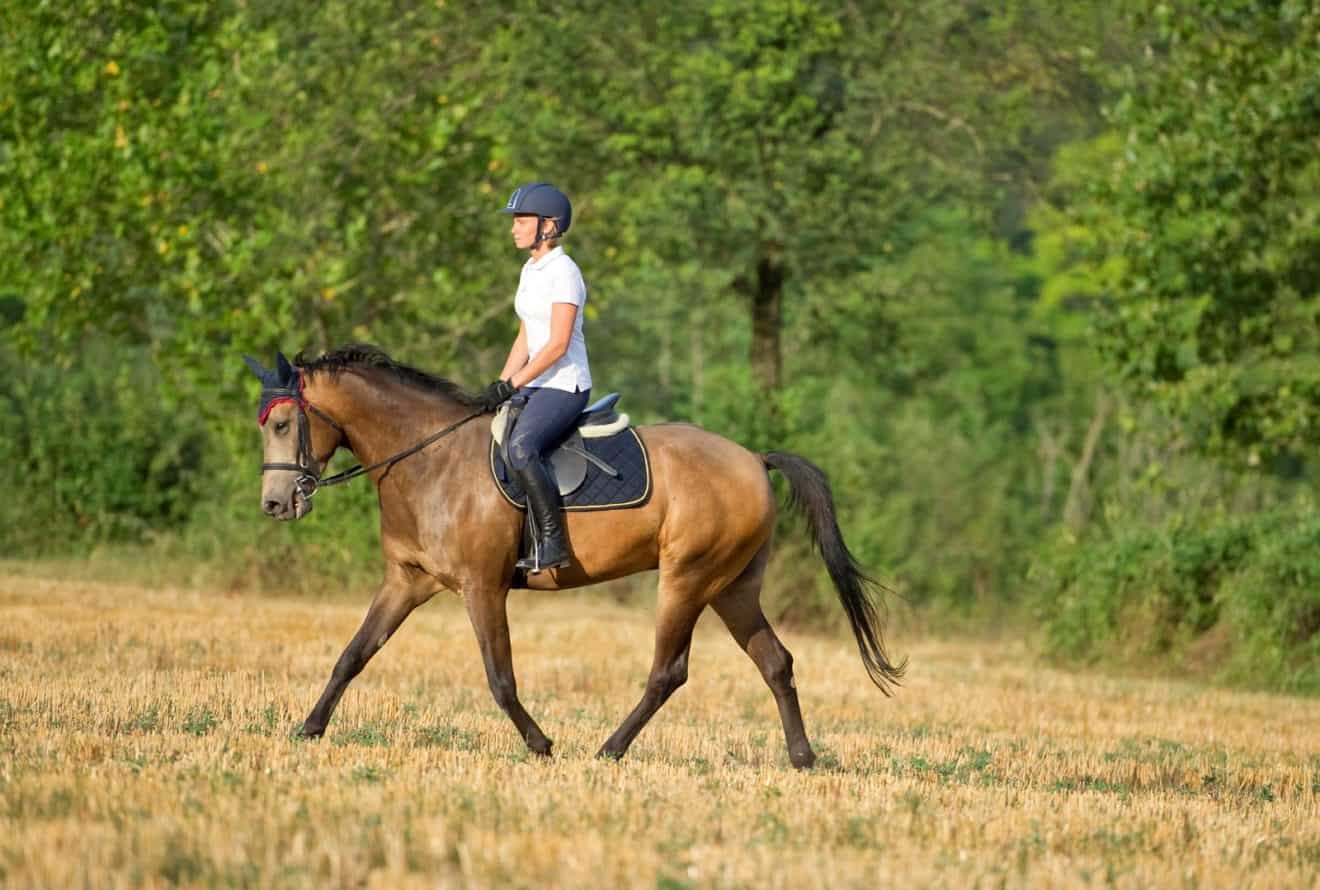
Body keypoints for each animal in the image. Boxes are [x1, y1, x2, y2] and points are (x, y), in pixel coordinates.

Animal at [247, 345, 904, 769]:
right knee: (775, 661)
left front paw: (540, 745)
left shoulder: (482, 587)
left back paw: (610, 749)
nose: (276, 504)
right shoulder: (406, 581)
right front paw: (309, 728)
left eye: (282, 424)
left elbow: (500, 677)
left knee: (669, 671)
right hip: (732, 588)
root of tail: (753, 459)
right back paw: (802, 758)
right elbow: (352, 656)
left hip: (688, 580)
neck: (428, 461)